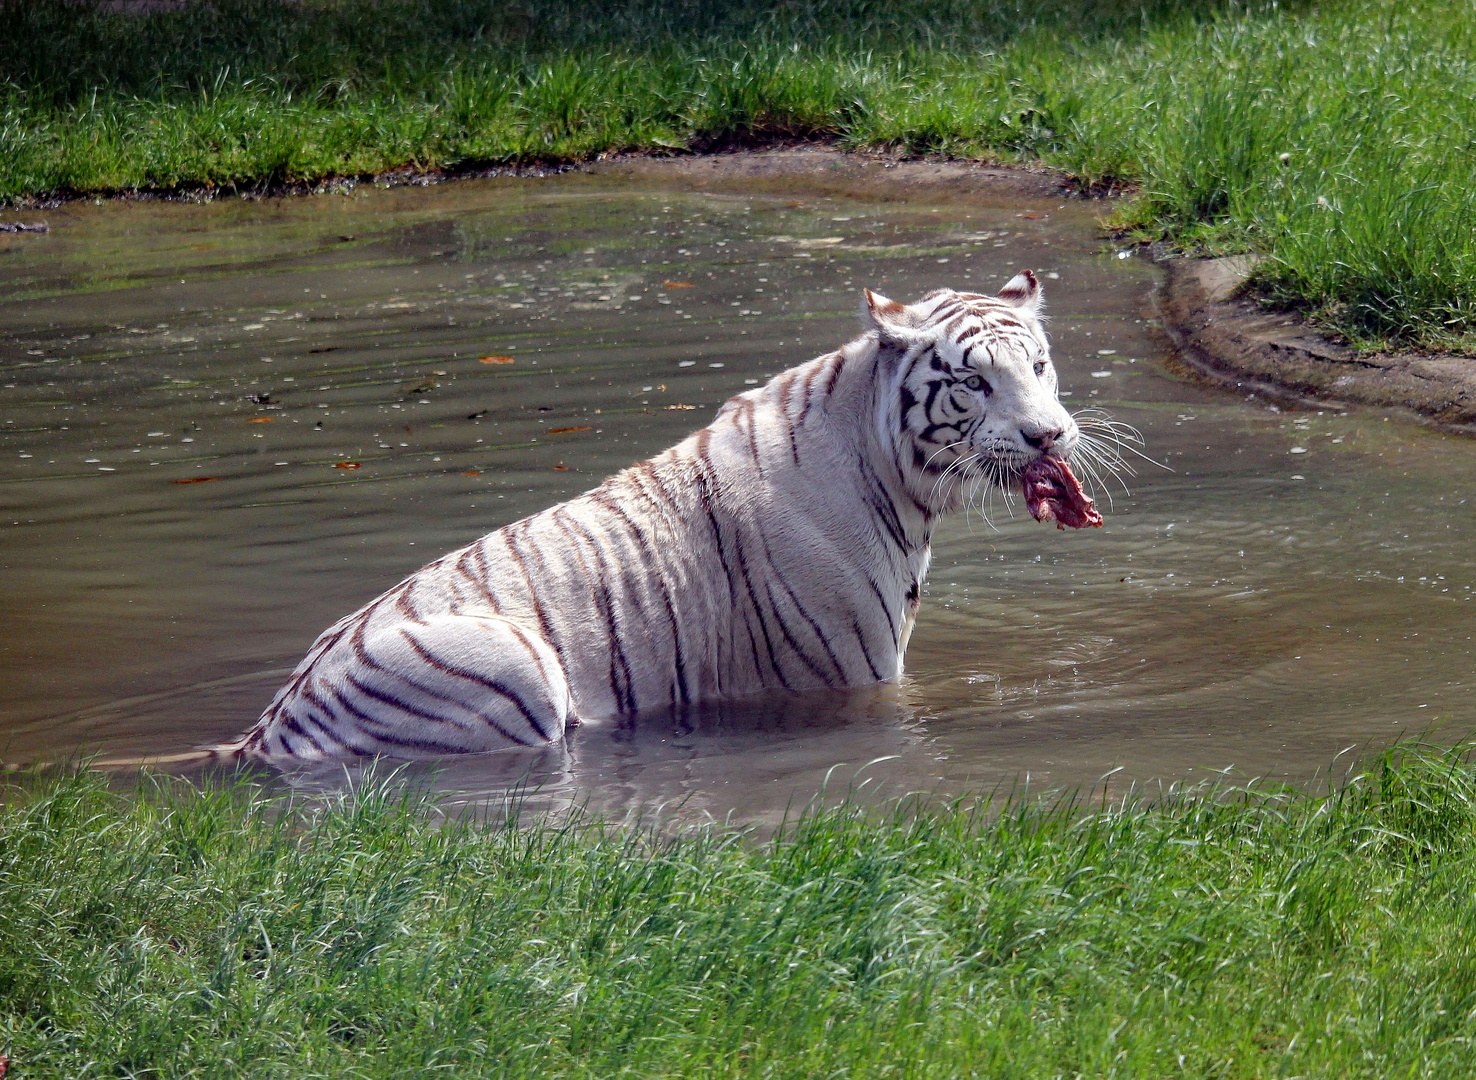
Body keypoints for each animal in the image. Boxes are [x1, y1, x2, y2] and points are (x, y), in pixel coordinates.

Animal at [230, 271, 1117, 762]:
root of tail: (267, 729)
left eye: (1040, 365)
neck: (899, 480)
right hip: (513, 660)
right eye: (973, 382)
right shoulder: (854, 676)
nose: (1049, 434)